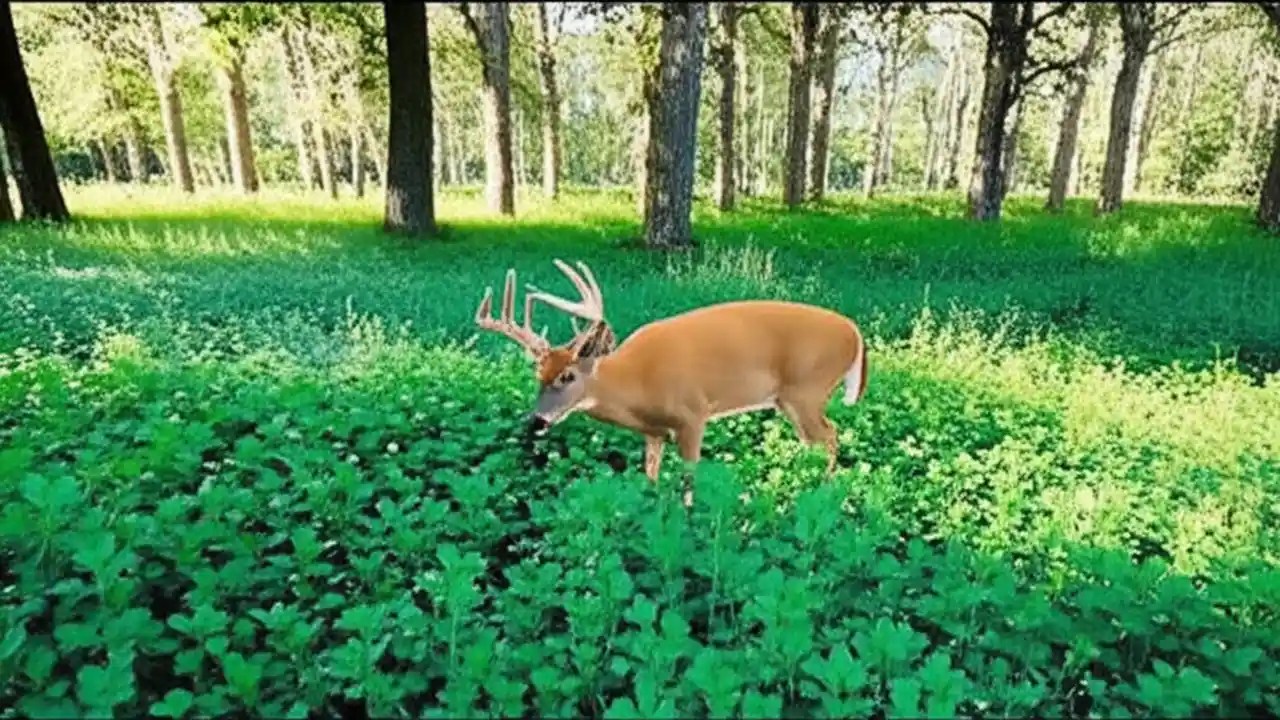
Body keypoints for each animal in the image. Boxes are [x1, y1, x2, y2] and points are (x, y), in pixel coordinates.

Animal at [473, 259, 868, 493]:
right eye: (537, 373)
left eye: (568, 376)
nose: (536, 421)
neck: (635, 383)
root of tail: (855, 332)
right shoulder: (654, 432)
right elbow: (650, 476)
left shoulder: (693, 415)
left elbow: (688, 482)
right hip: (792, 401)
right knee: (817, 439)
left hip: (807, 390)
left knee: (831, 434)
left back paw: (822, 490)